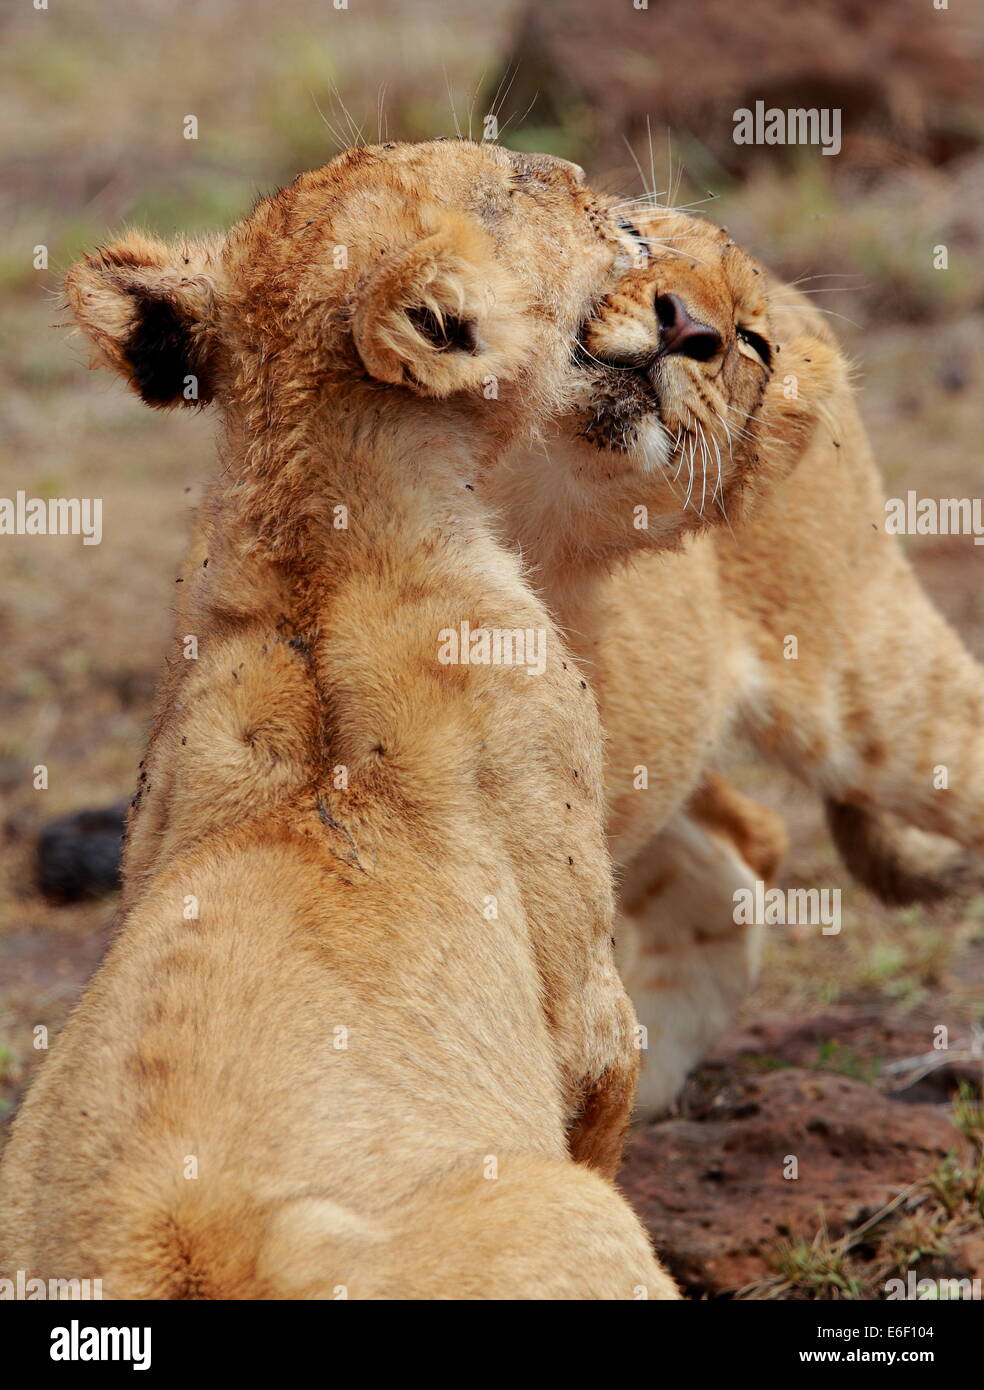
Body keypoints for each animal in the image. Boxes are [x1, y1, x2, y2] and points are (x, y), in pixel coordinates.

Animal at [0, 142, 680, 1300]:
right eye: (522, 183)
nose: (591, 179)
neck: (313, 554)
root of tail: (199, 1258)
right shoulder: (581, 973)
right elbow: (603, 1064)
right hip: (575, 1214)